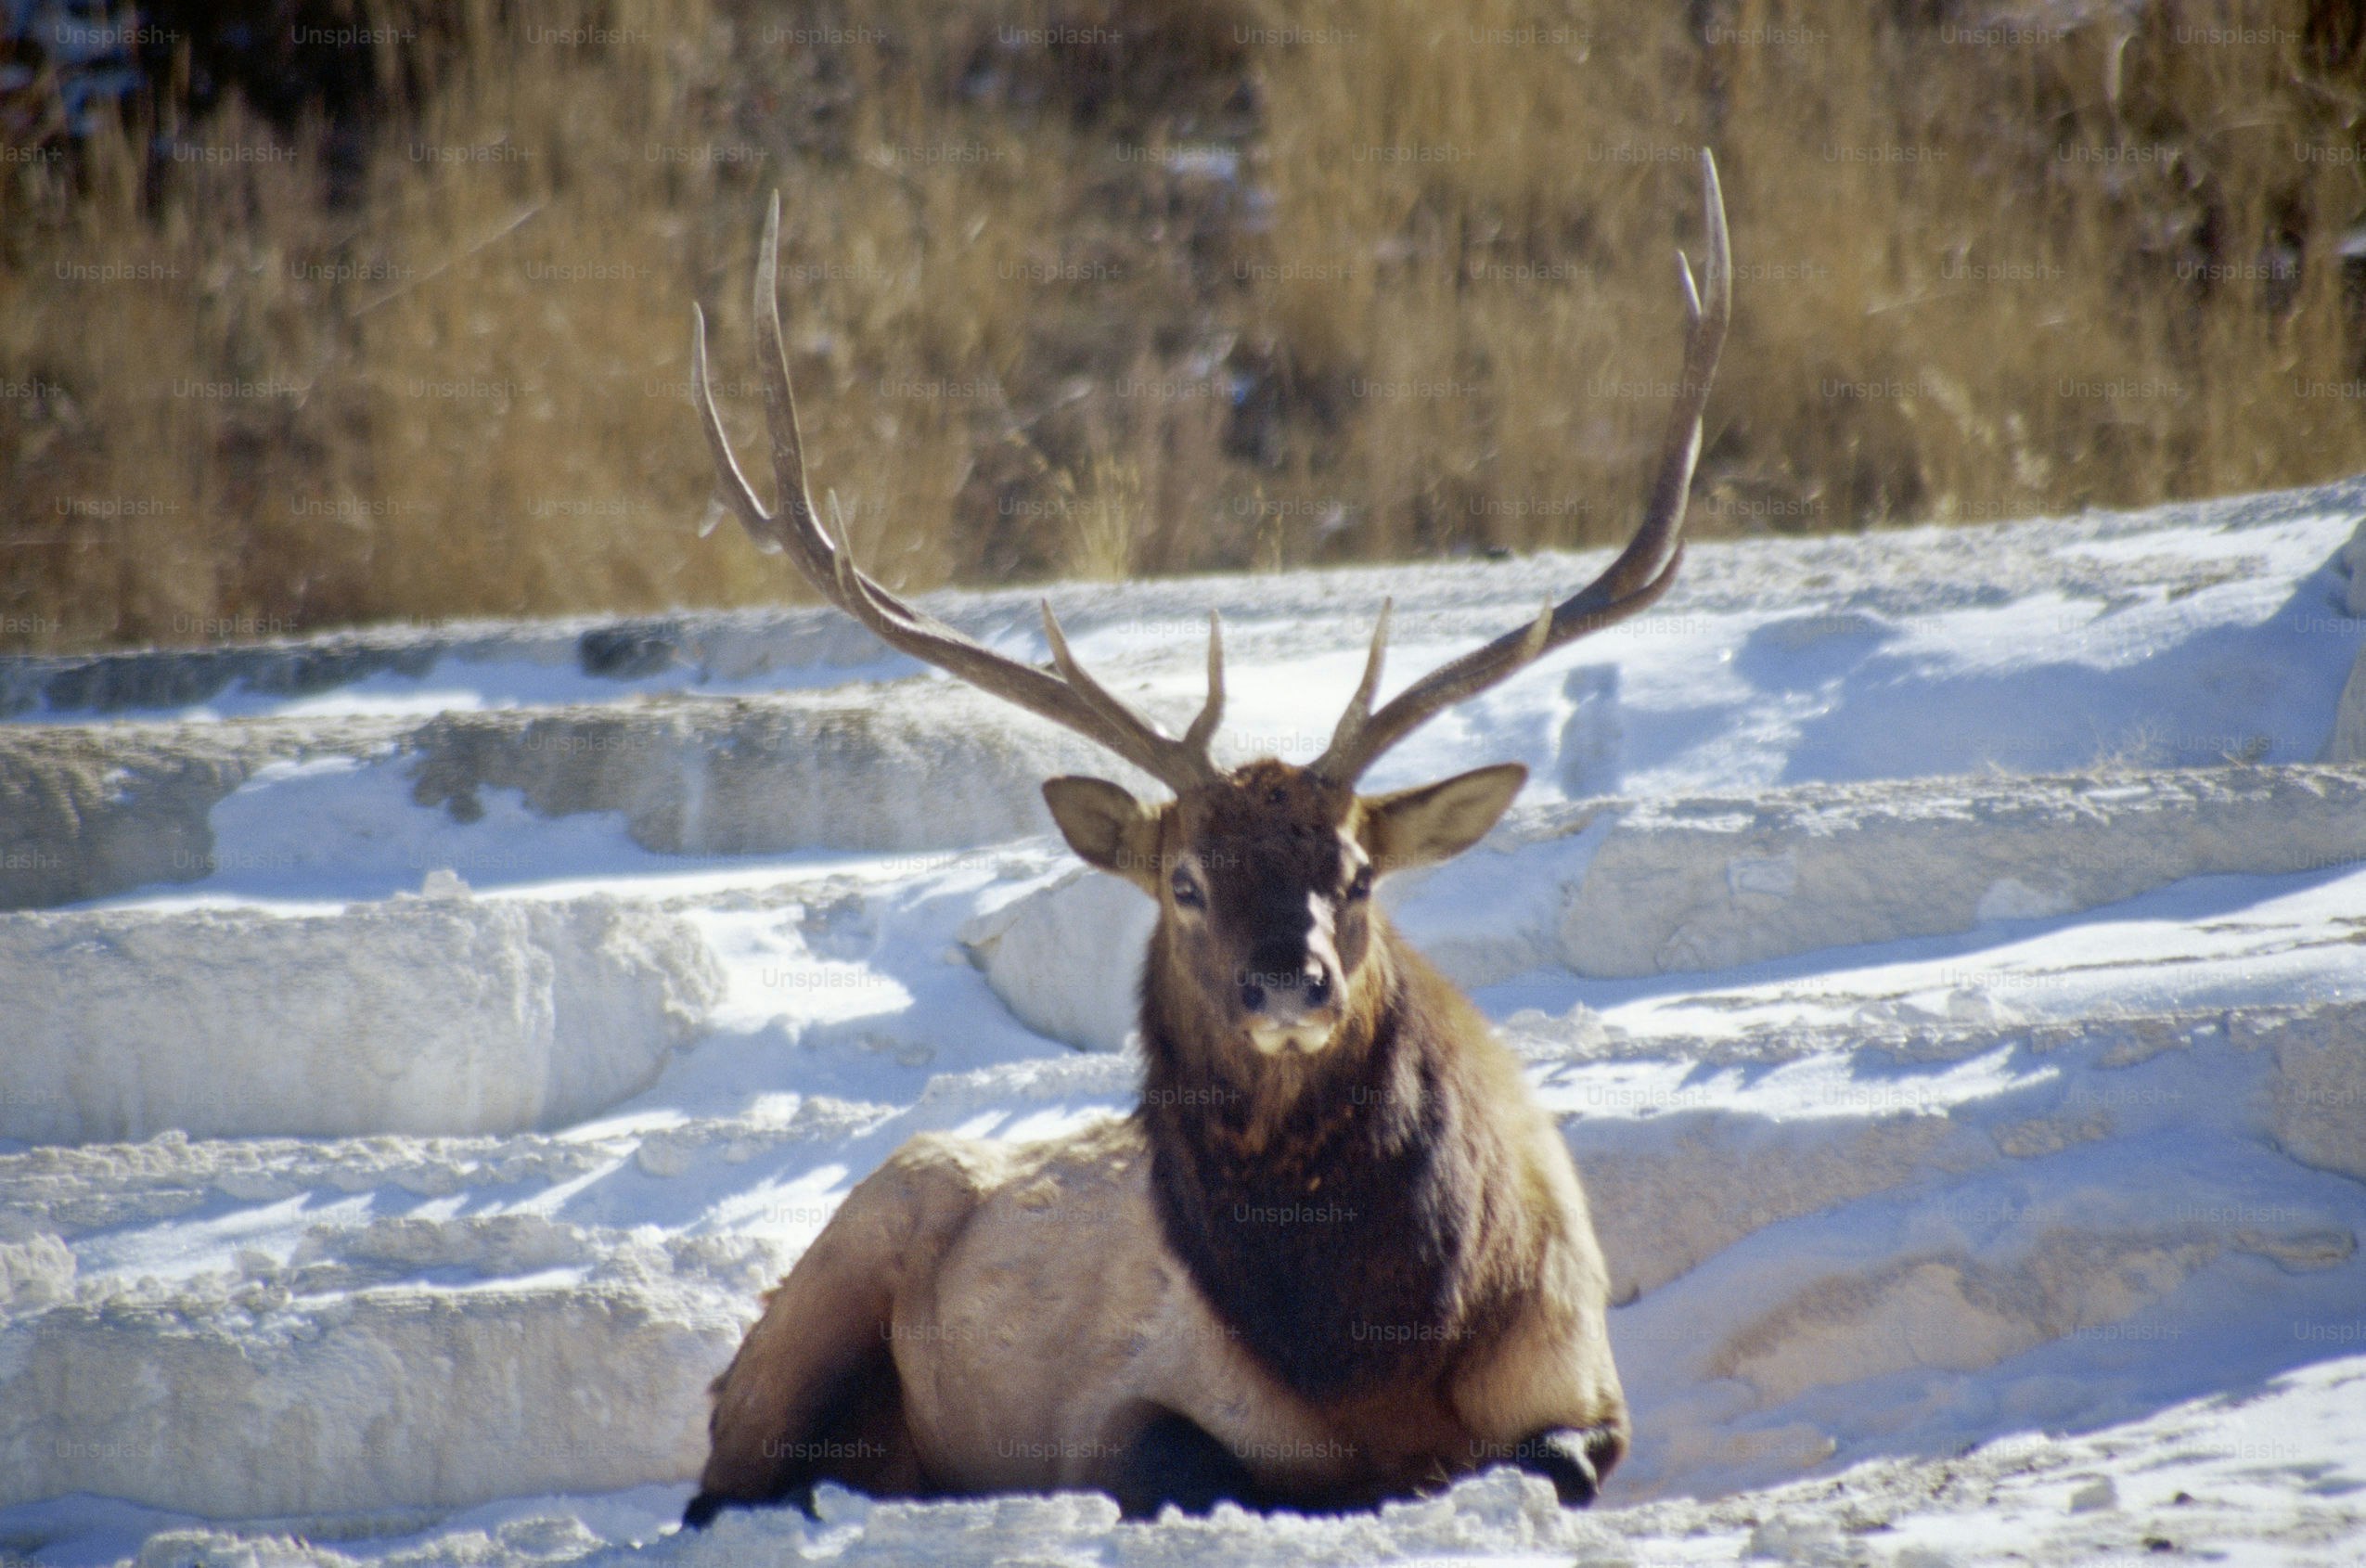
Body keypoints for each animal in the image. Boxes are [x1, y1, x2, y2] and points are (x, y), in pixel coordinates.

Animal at [678, 151, 1729, 1529]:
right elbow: (1207, 1471)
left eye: (1357, 872)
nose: (1288, 978)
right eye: (1182, 880)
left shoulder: (1583, 1379)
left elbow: (1547, 1458)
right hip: (825, 1285)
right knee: (717, 1484)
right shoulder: (1119, 1410)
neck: (1379, 1350)